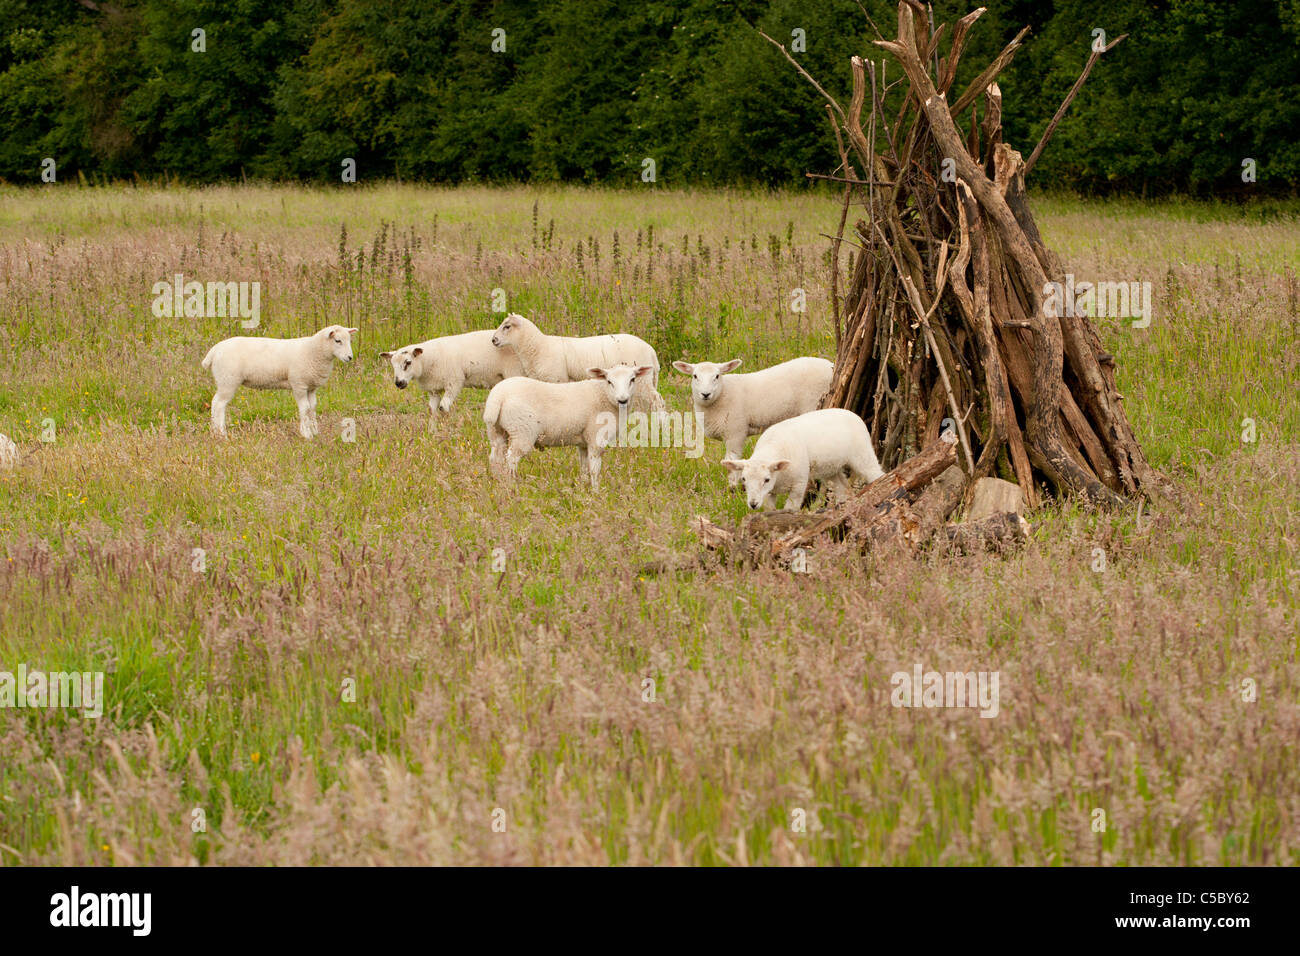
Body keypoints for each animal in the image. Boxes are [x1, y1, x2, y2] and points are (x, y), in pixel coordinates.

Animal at [202, 325, 357, 439]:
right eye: (337, 341)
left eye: (350, 340)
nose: (350, 357)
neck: (313, 351)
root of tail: (214, 350)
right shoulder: (299, 384)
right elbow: (305, 408)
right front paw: (306, 434)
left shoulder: (311, 387)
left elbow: (312, 408)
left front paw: (315, 431)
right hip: (228, 380)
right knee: (218, 404)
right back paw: (221, 433)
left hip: (225, 380)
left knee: (216, 403)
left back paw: (215, 432)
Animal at [380, 330, 523, 426]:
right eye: (392, 365)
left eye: (408, 362)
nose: (398, 383)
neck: (428, 360)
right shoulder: (433, 389)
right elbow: (432, 411)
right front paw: (432, 431)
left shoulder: (454, 382)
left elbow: (443, 408)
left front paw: (447, 429)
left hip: (514, 371)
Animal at [483, 364, 655, 489]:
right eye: (609, 381)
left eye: (632, 379)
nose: (623, 400)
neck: (605, 397)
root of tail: (498, 396)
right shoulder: (596, 438)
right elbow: (595, 469)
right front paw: (596, 492)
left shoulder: (584, 442)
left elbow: (584, 467)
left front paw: (583, 488)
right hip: (522, 432)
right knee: (511, 459)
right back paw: (512, 486)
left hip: (497, 431)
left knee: (495, 458)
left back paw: (498, 483)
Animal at [490, 313, 663, 409]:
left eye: (507, 326)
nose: (493, 340)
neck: (538, 347)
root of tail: (651, 351)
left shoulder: (557, 379)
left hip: (642, 381)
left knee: (658, 401)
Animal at [722, 408, 884, 511]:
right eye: (743, 479)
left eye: (766, 479)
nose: (753, 504)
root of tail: (853, 414)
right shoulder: (769, 493)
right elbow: (769, 509)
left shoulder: (798, 485)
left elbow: (790, 509)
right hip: (831, 468)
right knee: (842, 488)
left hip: (862, 453)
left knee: (876, 473)